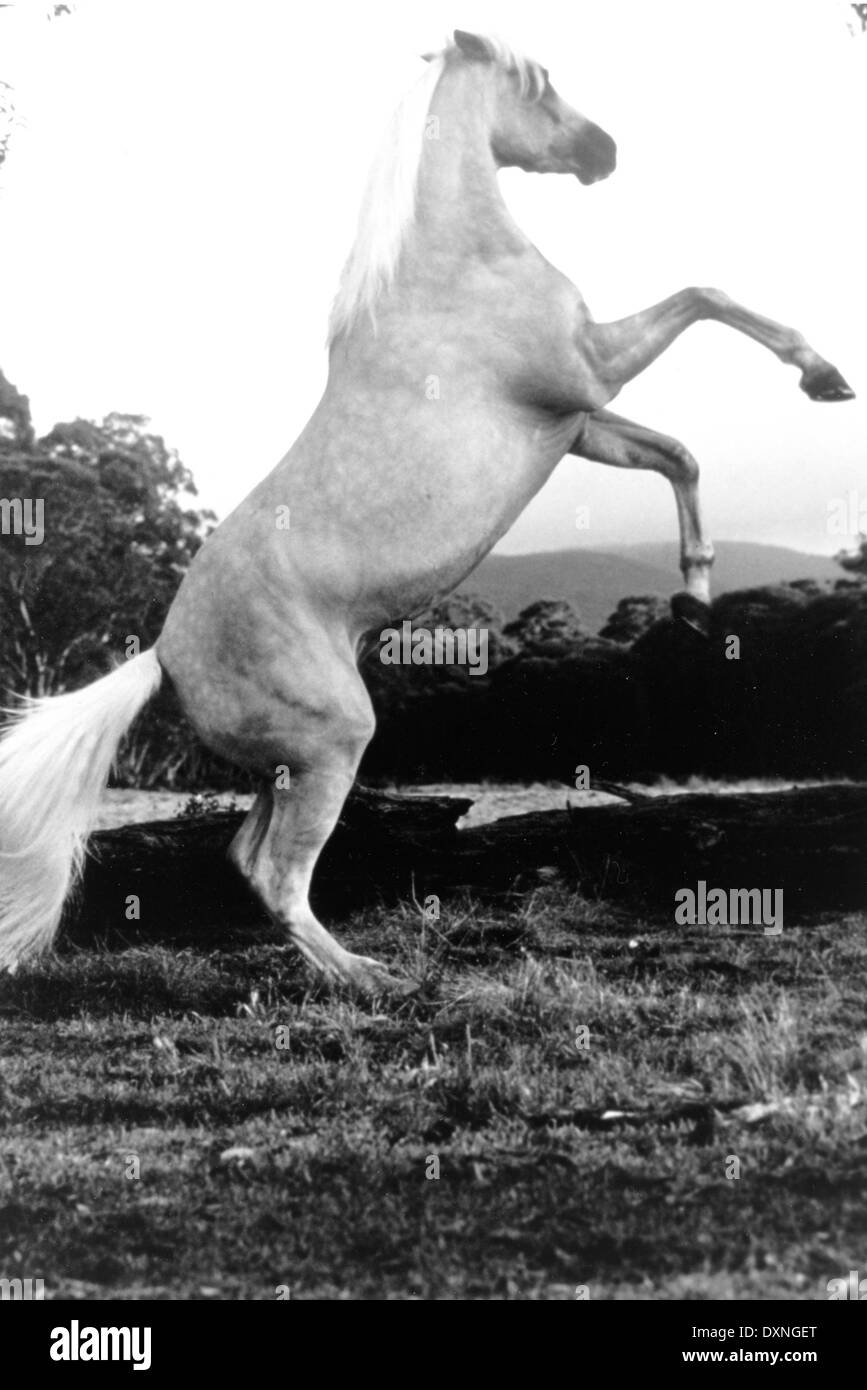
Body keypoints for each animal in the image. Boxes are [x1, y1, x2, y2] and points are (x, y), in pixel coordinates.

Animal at [0, 29, 854, 992]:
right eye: (538, 83)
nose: (604, 151)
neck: (456, 266)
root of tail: (163, 656)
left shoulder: (577, 423)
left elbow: (679, 455)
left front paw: (694, 599)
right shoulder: (593, 370)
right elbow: (705, 294)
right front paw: (822, 375)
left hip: (286, 766)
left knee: (246, 856)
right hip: (334, 742)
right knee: (276, 873)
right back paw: (372, 978)